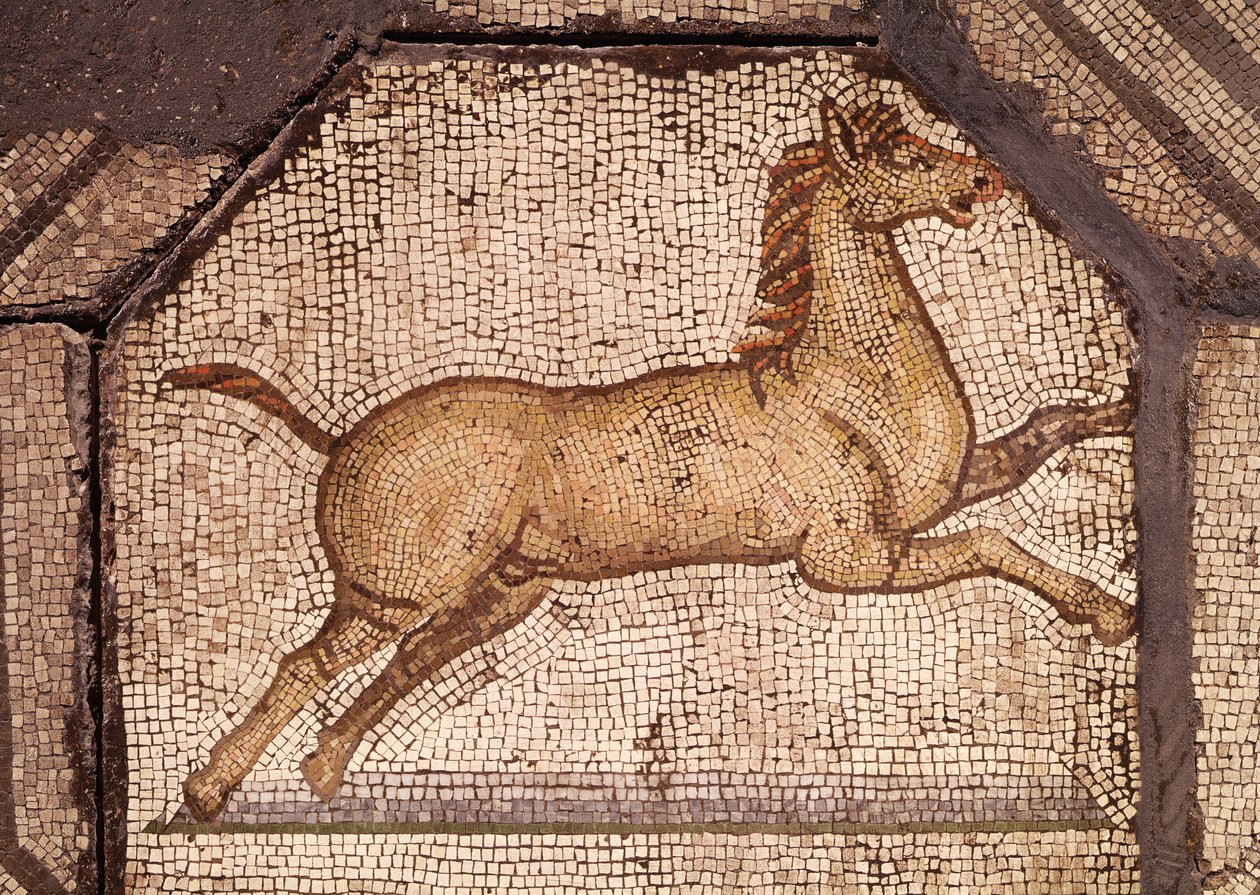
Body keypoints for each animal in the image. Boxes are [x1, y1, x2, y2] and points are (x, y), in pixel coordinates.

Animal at [165, 97, 1135, 823]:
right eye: (898, 154)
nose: (984, 178)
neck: (848, 377)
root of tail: (343, 439)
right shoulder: (843, 556)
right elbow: (992, 543)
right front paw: (1111, 614)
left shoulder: (935, 494)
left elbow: (1046, 430)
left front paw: (1123, 410)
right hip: (401, 584)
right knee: (305, 664)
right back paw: (206, 793)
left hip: (501, 592)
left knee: (405, 664)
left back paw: (325, 773)